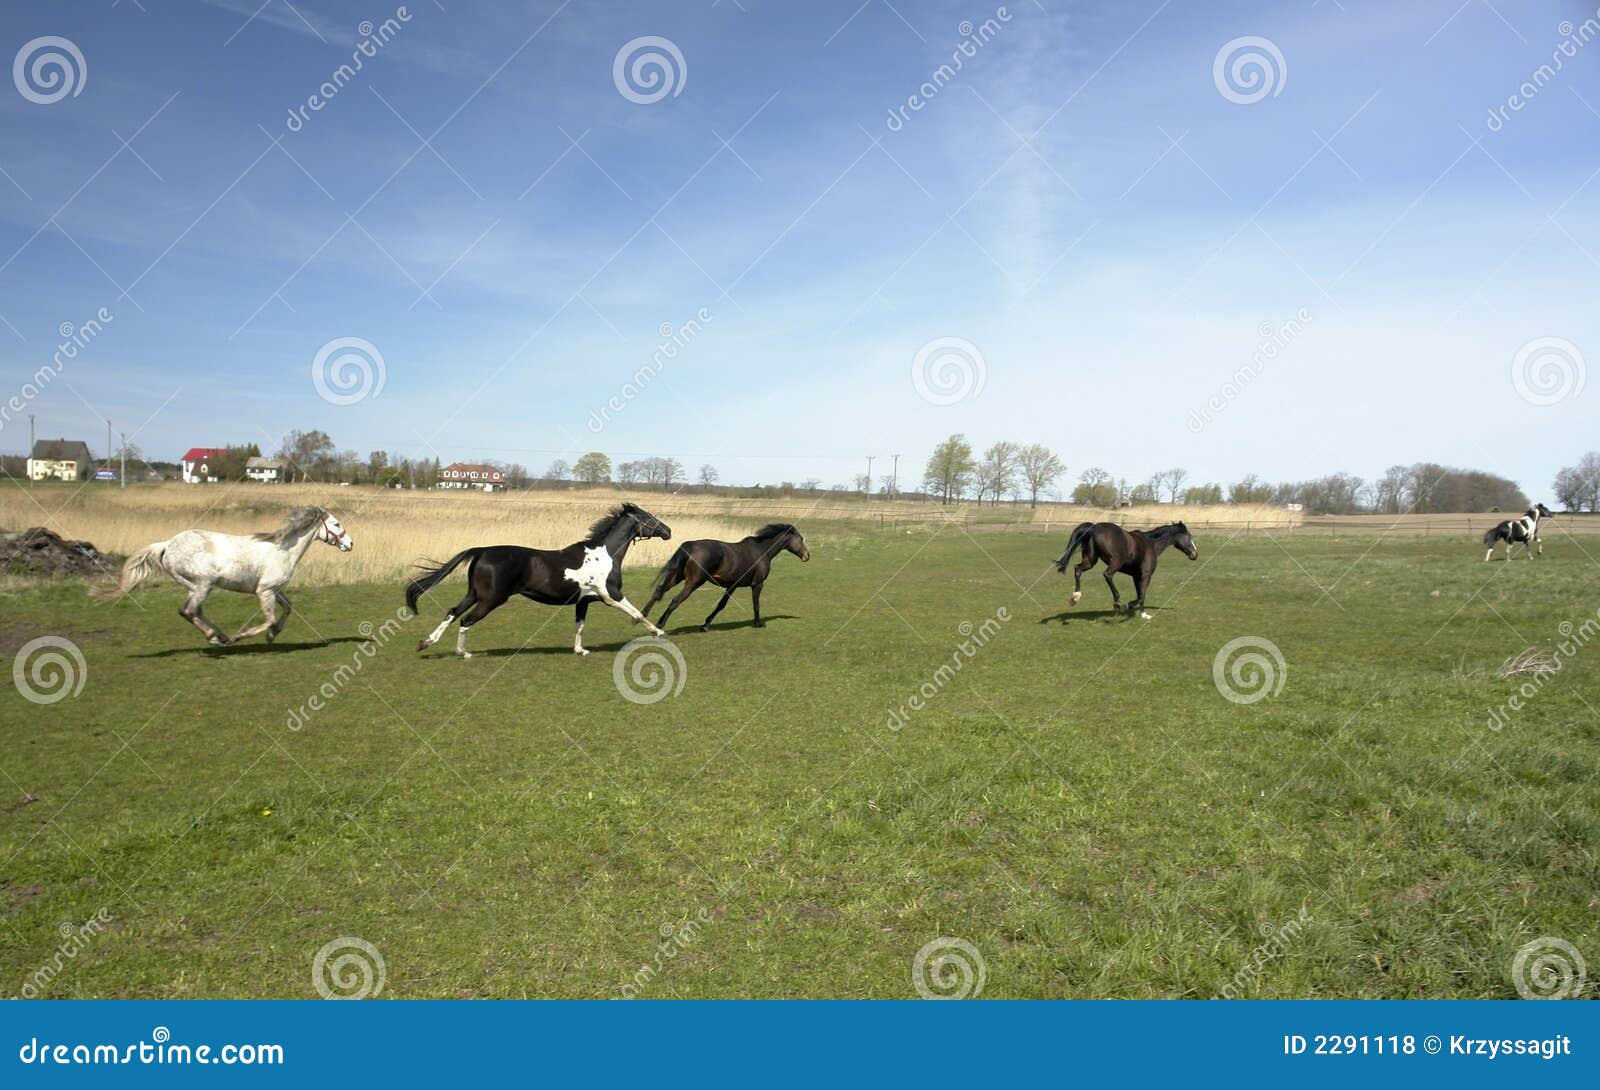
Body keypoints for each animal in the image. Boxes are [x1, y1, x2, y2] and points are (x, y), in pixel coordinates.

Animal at [108, 506, 353, 644]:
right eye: (336, 523)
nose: (350, 544)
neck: (283, 550)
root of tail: (168, 544)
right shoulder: (264, 592)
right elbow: (269, 619)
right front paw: (249, 635)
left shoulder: (275, 590)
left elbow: (287, 609)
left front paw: (273, 634)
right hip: (203, 584)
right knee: (188, 611)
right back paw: (216, 638)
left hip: (194, 586)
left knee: (194, 611)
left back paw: (220, 636)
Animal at [404, 502, 671, 658]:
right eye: (648, 518)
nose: (668, 531)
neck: (605, 554)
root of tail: (482, 551)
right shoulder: (611, 595)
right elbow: (637, 613)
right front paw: (658, 631)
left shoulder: (583, 601)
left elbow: (580, 625)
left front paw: (580, 650)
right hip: (491, 599)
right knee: (466, 620)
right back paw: (463, 652)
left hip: (474, 594)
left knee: (452, 612)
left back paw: (425, 643)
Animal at [643, 523, 810, 632]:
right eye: (801, 539)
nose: (807, 556)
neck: (762, 551)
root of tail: (689, 546)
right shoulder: (758, 584)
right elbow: (756, 604)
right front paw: (758, 623)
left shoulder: (732, 585)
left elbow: (721, 605)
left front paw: (706, 625)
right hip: (694, 582)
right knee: (675, 600)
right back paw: (659, 626)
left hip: (677, 577)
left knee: (658, 591)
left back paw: (644, 617)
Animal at [1054, 521, 1197, 619]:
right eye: (1188, 536)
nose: (1195, 554)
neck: (1151, 544)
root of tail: (1093, 528)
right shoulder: (1146, 575)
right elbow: (1141, 595)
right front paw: (1128, 606)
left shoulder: (1136, 576)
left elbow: (1140, 594)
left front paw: (1143, 615)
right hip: (1116, 562)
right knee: (1107, 574)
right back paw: (1117, 602)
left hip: (1090, 561)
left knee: (1077, 569)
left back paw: (1075, 597)